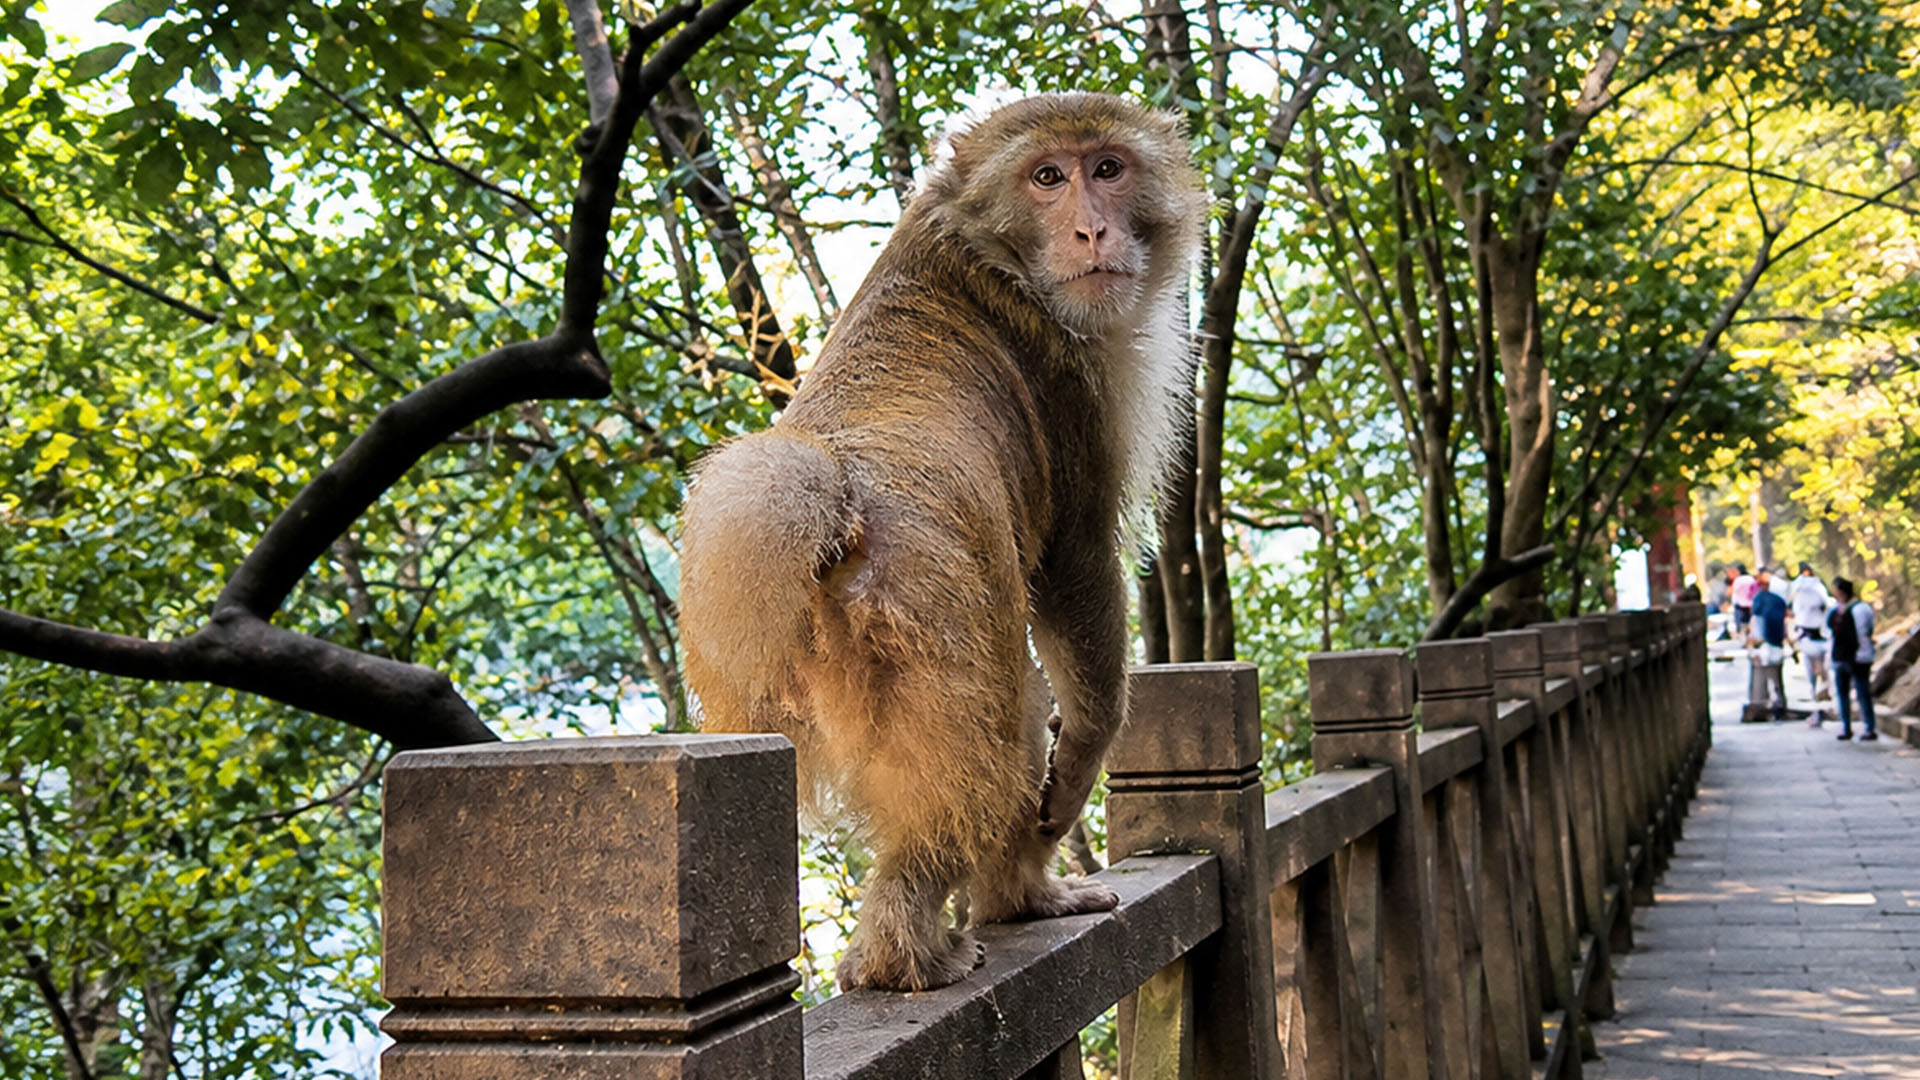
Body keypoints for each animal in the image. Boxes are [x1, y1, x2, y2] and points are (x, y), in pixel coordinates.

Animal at [677, 93, 1207, 992]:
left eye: (1108, 168)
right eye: (1047, 176)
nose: (1092, 230)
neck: (982, 246)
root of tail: (830, 495)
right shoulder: (1072, 380)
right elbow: (1073, 565)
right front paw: (1081, 757)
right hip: (933, 598)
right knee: (998, 729)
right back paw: (948, 930)